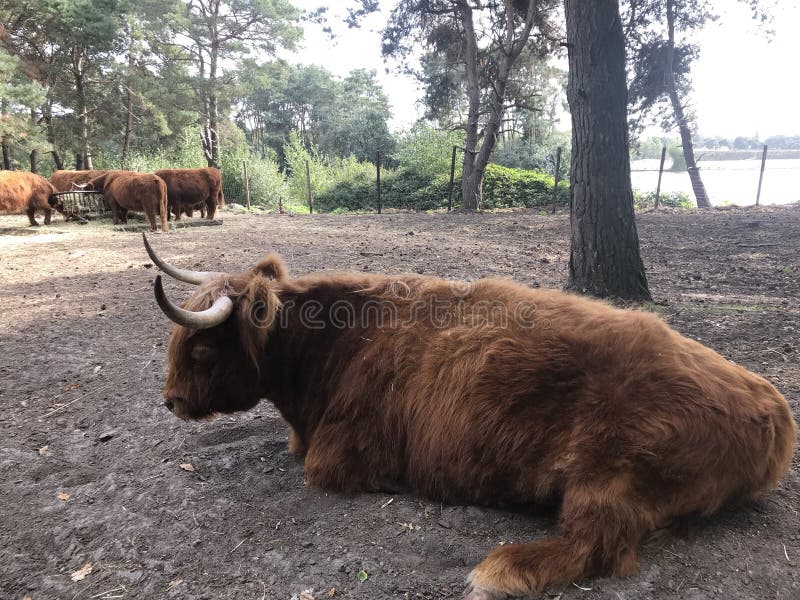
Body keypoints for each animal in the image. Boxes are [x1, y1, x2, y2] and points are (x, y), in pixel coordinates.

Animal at [143, 235, 797, 600]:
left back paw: (500, 570)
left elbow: (323, 469)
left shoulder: (345, 449)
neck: (338, 345)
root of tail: (773, 409)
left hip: (609, 469)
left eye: (202, 351)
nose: (170, 399)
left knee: (596, 544)